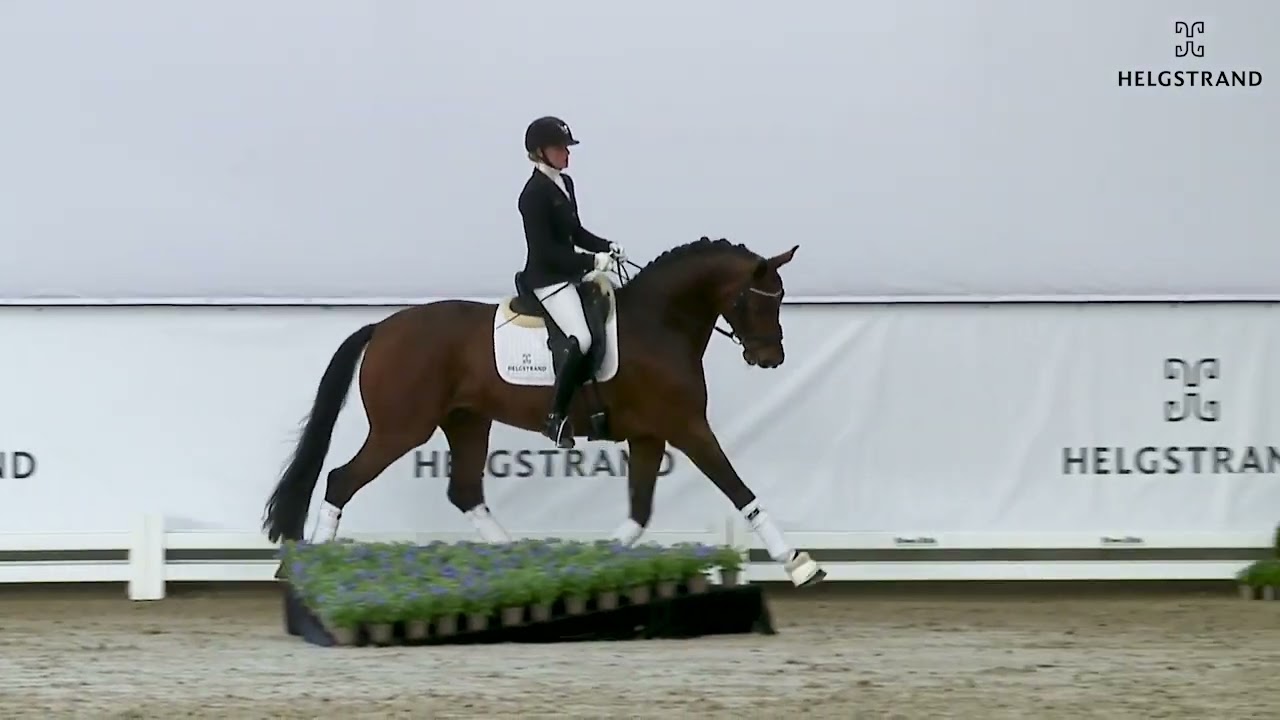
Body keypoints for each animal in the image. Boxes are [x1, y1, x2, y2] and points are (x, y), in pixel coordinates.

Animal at [262, 236, 826, 587]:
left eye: (780, 298)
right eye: (760, 300)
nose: (771, 358)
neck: (659, 323)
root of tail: (383, 327)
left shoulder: (649, 436)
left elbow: (640, 512)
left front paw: (592, 567)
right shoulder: (687, 426)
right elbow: (739, 490)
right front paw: (799, 563)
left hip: (467, 421)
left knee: (465, 491)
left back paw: (518, 564)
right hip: (401, 429)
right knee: (341, 479)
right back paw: (308, 570)